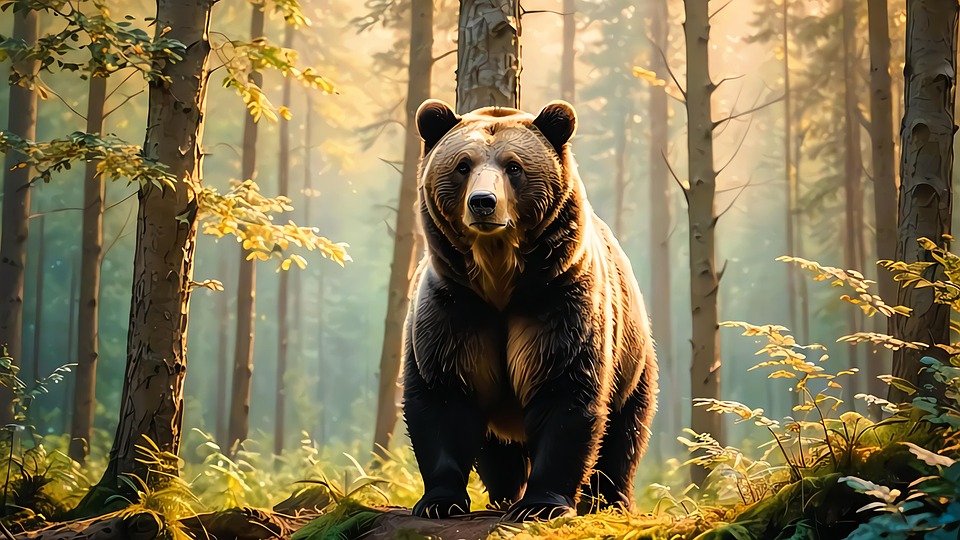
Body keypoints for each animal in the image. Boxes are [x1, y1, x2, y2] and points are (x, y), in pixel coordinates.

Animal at [401, 98, 658, 523]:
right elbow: (443, 394)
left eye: (514, 166)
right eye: (462, 165)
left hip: (633, 357)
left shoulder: (558, 300)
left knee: (625, 432)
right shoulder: (455, 307)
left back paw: (611, 501)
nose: (483, 202)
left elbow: (564, 389)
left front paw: (541, 505)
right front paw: (439, 501)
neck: (500, 281)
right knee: (496, 450)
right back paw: (503, 496)